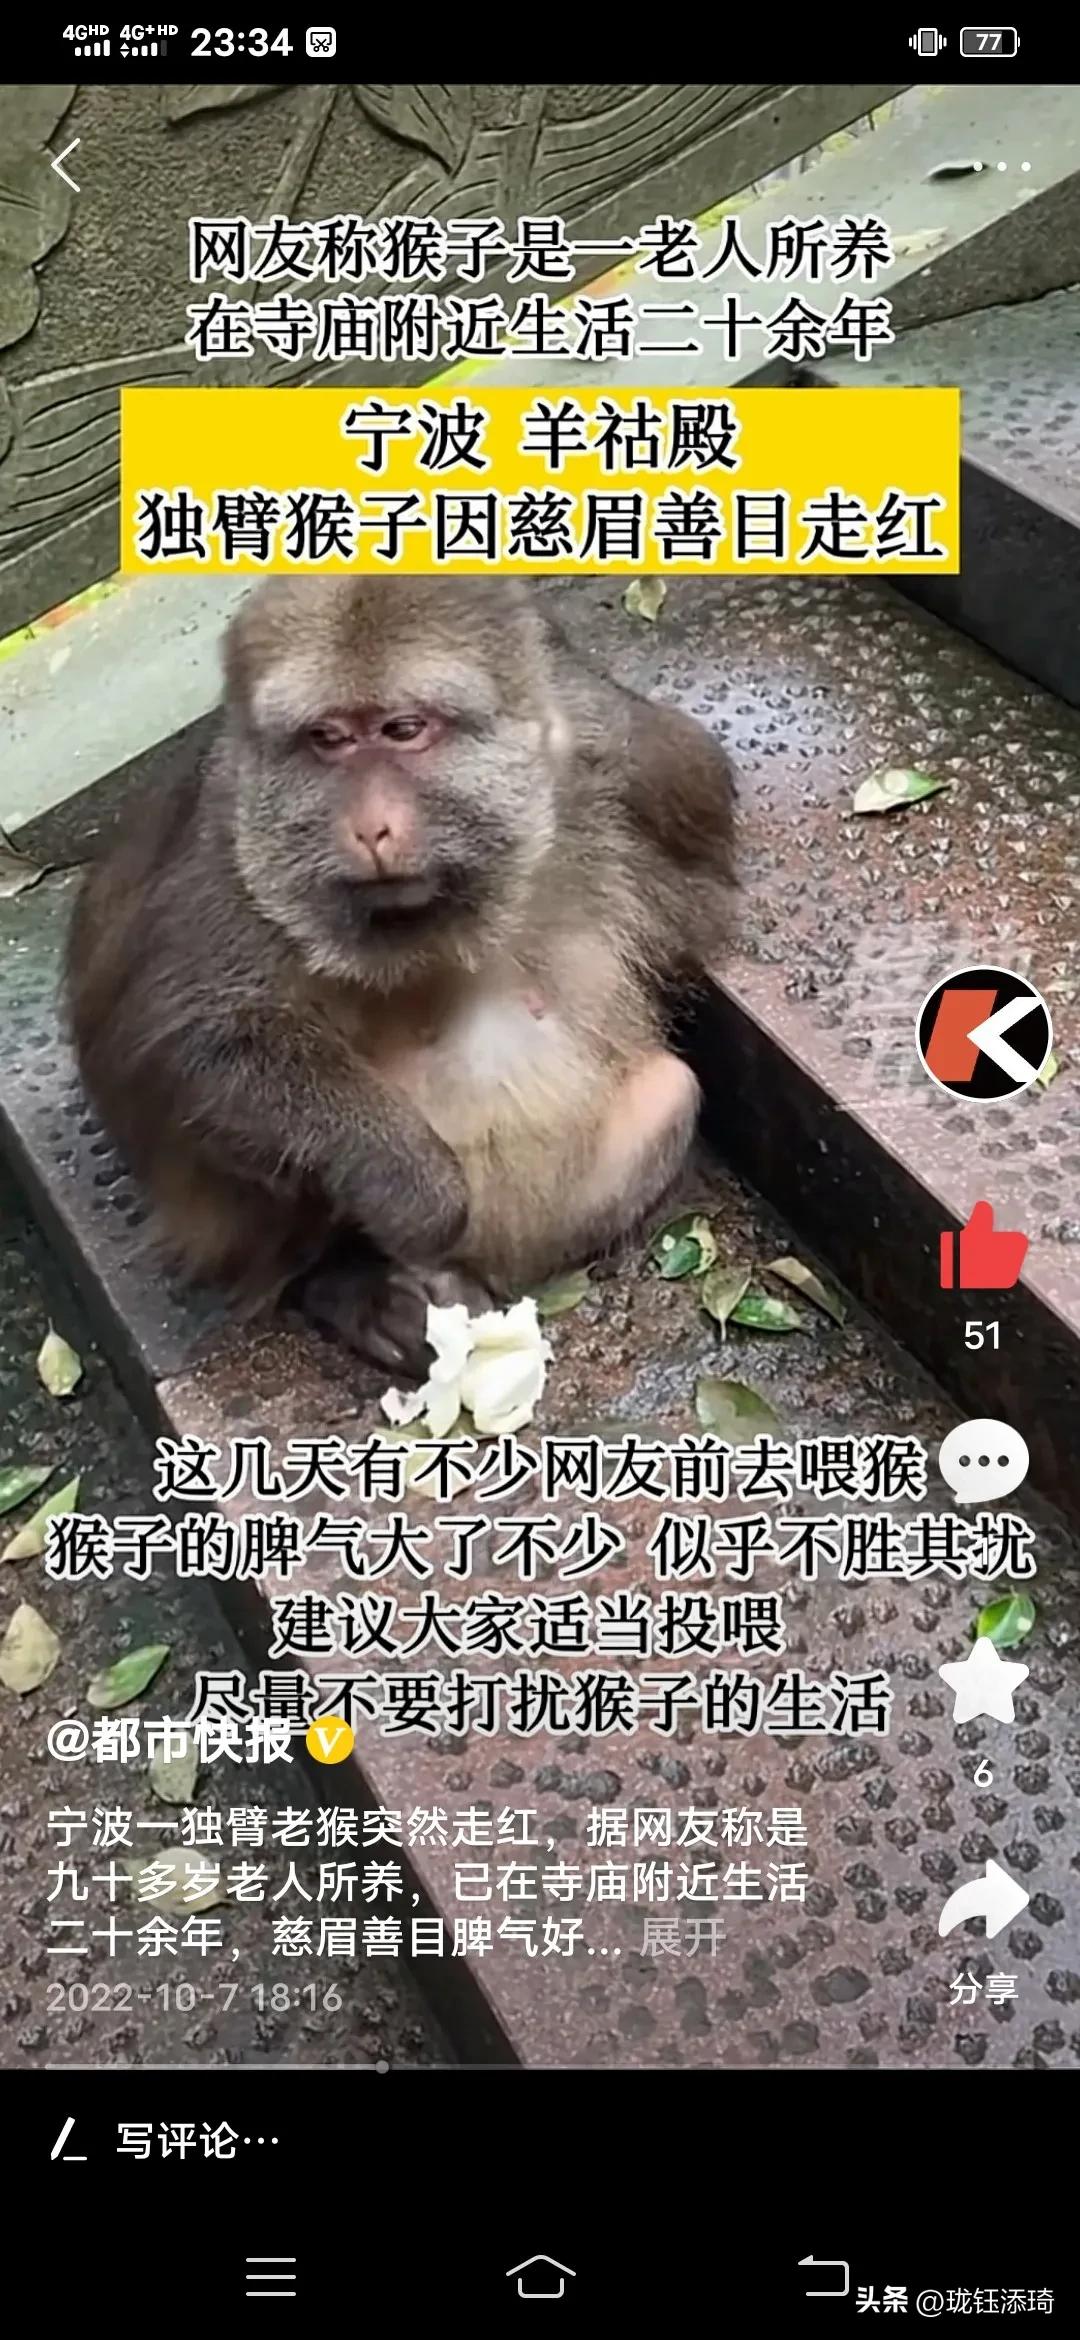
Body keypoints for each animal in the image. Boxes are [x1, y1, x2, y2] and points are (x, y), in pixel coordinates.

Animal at [65, 576, 736, 1382]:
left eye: (403, 730)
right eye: (328, 740)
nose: (371, 827)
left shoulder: (648, 779)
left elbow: (696, 854)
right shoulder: (229, 846)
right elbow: (183, 1043)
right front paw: (419, 1197)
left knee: (672, 1093)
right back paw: (347, 1283)